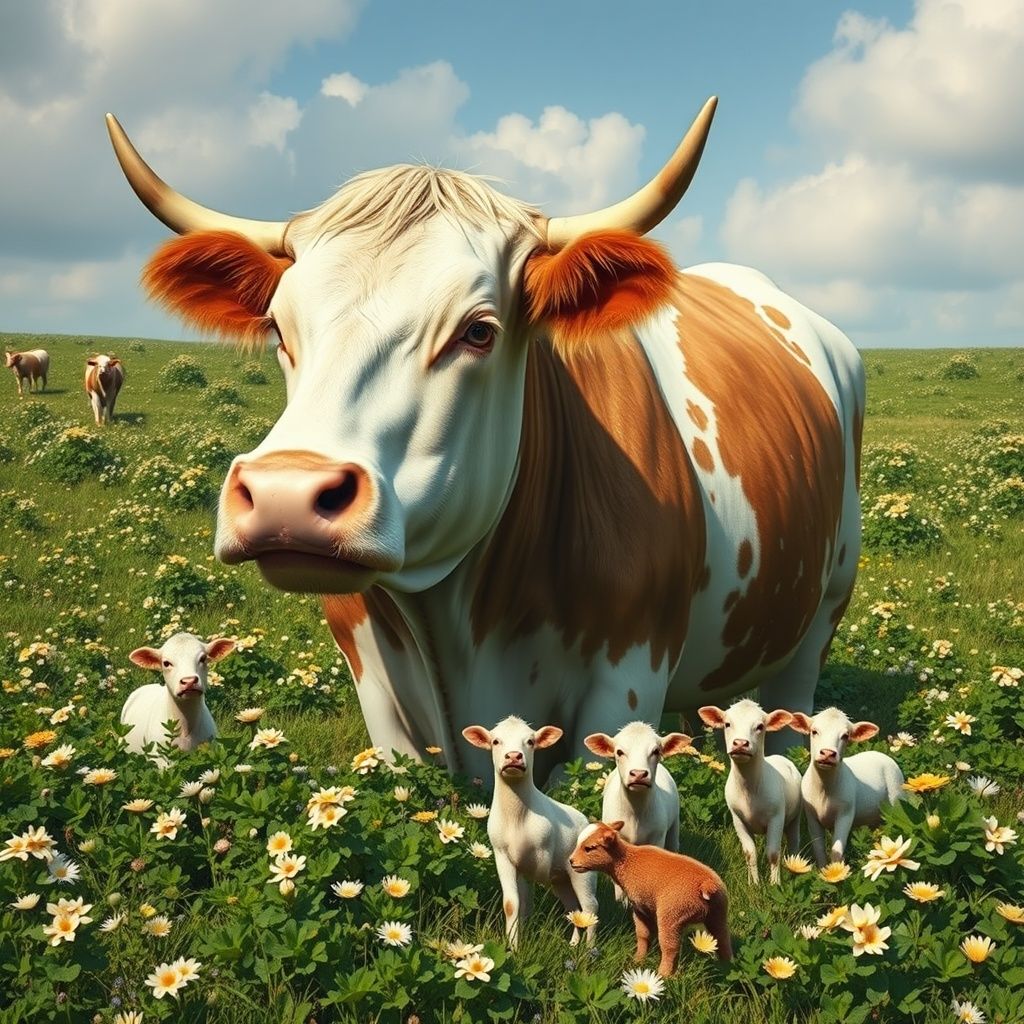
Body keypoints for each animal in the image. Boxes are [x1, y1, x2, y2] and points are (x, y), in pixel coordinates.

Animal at [106, 96, 865, 783]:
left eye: (478, 331)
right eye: (278, 328)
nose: (283, 495)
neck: (453, 632)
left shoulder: (627, 677)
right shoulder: (376, 689)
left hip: (827, 601)